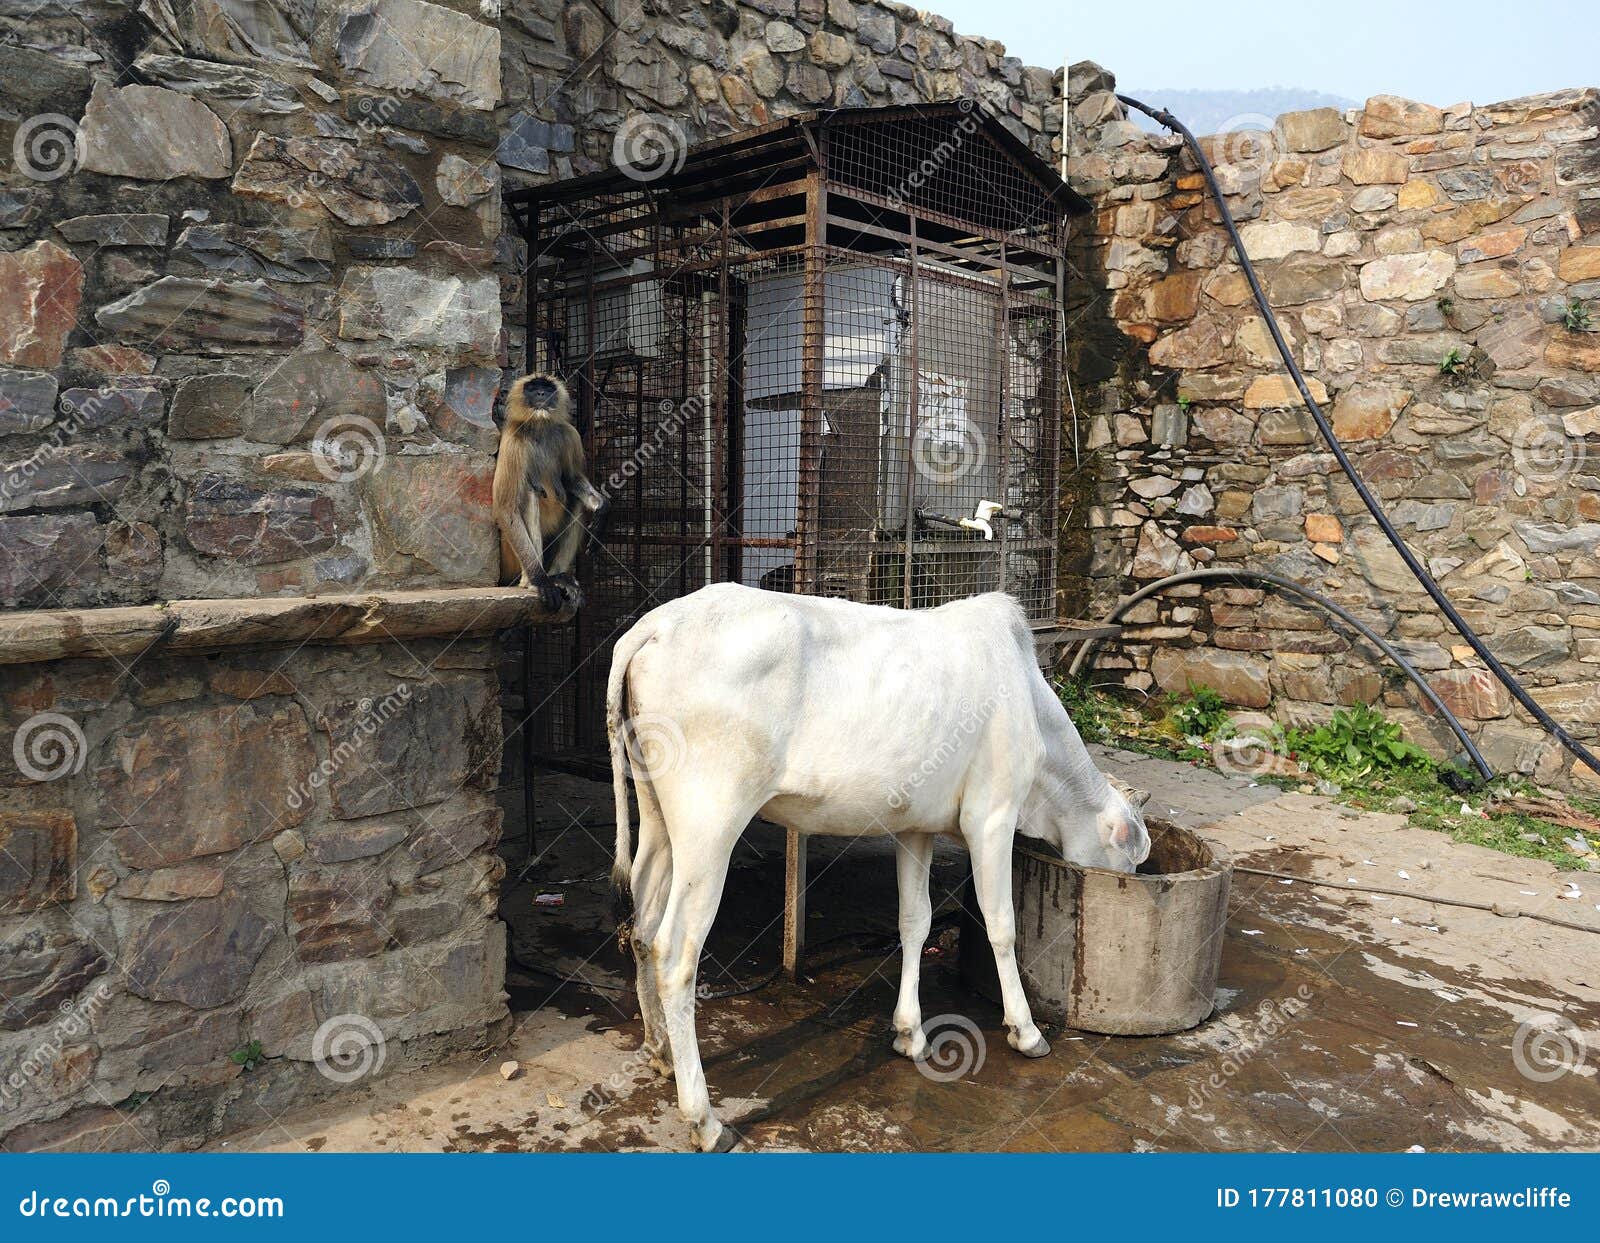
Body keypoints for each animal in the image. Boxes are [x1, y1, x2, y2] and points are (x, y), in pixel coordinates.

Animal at [493, 373, 606, 611]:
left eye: (547, 387)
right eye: (533, 387)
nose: (541, 393)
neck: (539, 426)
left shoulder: (570, 433)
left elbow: (572, 480)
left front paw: (602, 506)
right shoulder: (512, 440)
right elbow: (505, 507)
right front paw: (539, 580)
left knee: (576, 500)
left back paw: (557, 577)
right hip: (509, 555)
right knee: (528, 494)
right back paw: (535, 581)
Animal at [606, 583, 1151, 1151]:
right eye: (1131, 859)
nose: (1131, 882)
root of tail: (657, 624)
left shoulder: (915, 826)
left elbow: (915, 922)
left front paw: (910, 1033)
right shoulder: (992, 816)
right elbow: (1002, 926)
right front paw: (1025, 1031)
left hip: (659, 817)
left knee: (640, 926)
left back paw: (661, 1052)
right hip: (710, 826)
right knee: (674, 953)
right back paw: (704, 1119)